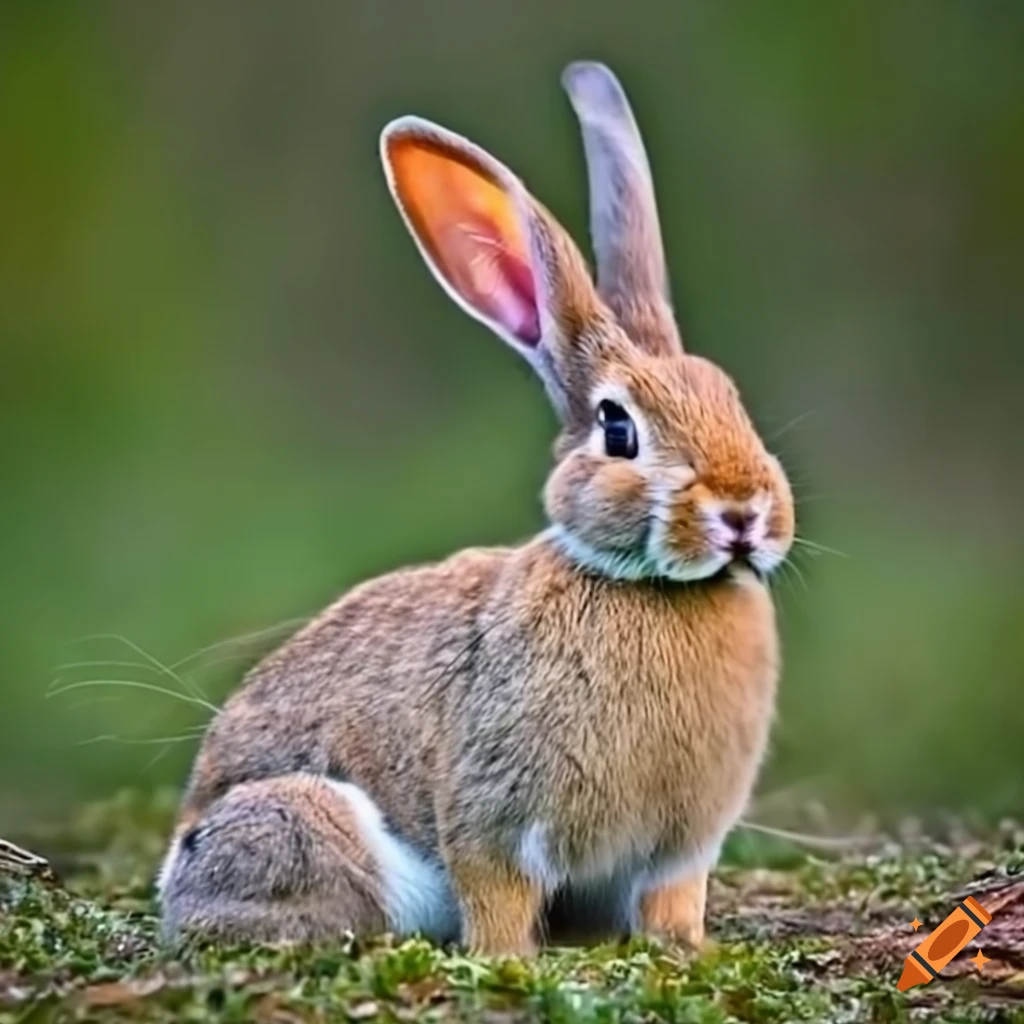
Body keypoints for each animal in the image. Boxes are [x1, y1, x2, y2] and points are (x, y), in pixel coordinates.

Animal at [157, 60, 795, 956]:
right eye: (619, 429)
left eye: (730, 399)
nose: (745, 513)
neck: (648, 588)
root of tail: (175, 864)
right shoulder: (494, 817)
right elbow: (495, 892)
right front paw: (509, 960)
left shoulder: (680, 850)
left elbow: (672, 905)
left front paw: (686, 950)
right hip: (302, 825)